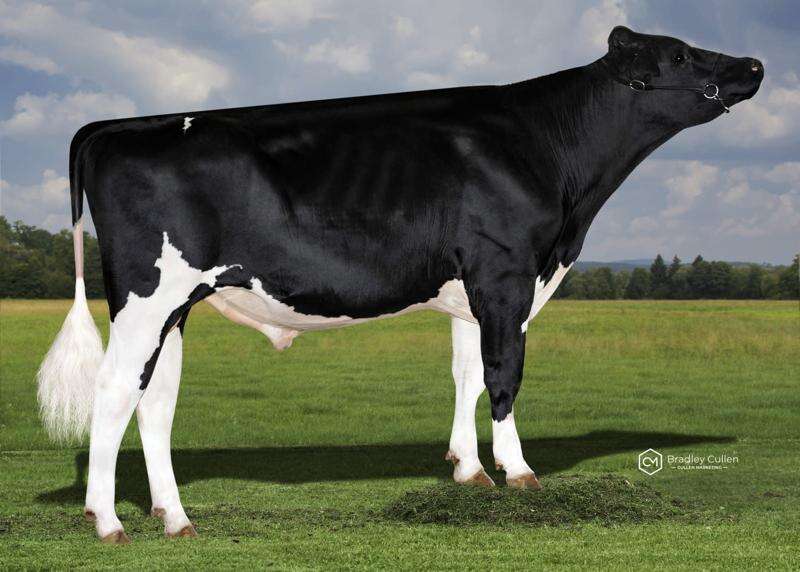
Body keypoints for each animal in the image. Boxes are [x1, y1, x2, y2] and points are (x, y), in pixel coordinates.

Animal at [37, 26, 762, 543]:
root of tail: (119, 126)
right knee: (113, 389)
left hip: (176, 306)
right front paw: (520, 473)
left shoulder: (472, 293)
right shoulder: (506, 273)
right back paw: (108, 521)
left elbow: (467, 375)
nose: (754, 66)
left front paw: (469, 470)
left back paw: (175, 518)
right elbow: (503, 376)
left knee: (154, 400)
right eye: (680, 53)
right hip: (147, 295)